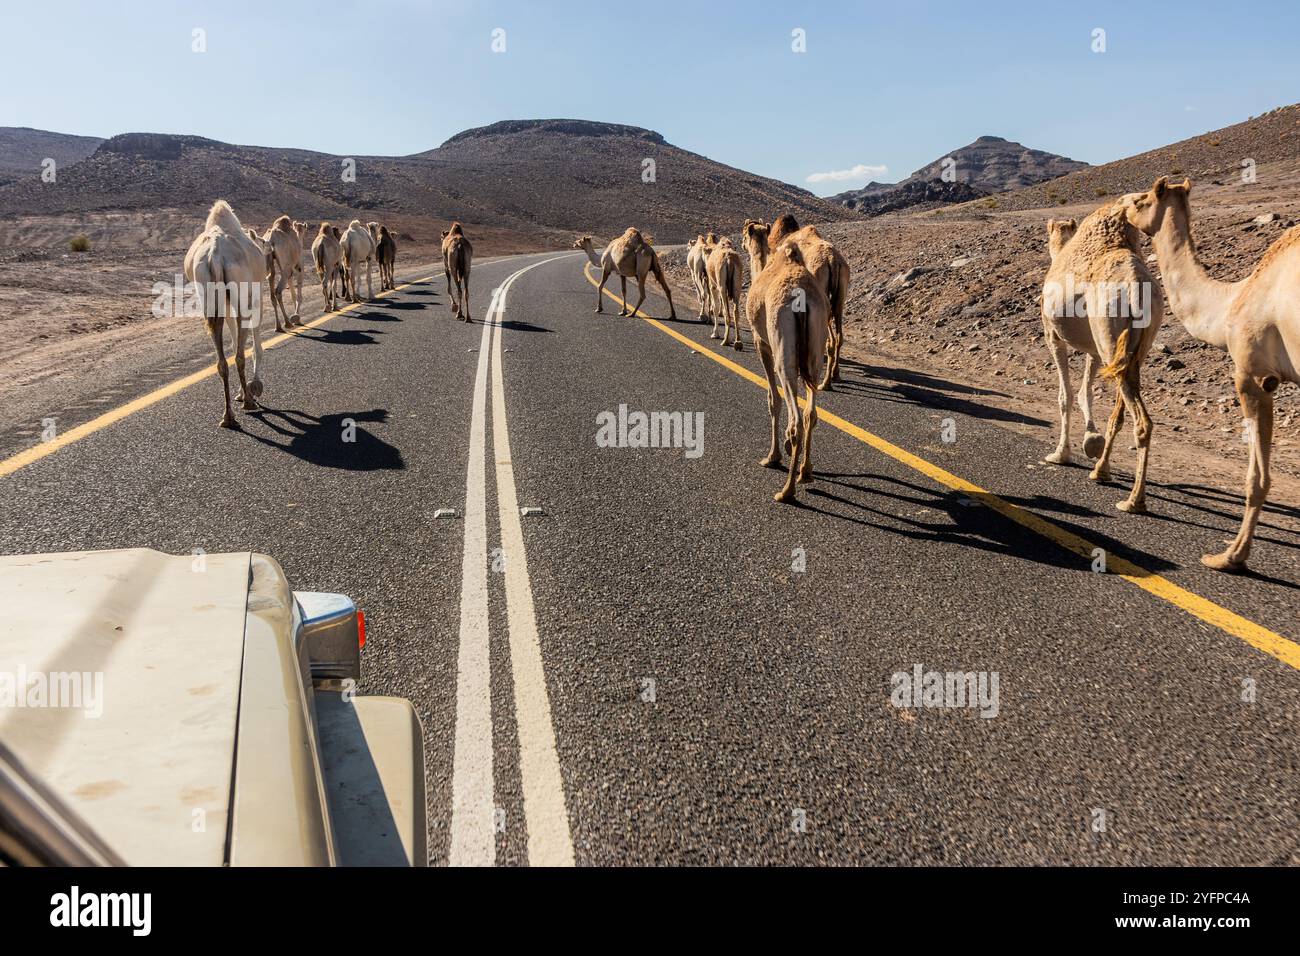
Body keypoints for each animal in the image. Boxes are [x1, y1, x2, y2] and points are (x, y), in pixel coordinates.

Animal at [183, 199, 266, 428]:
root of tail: (215, 255)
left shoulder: (226, 303)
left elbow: (235, 340)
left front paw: (244, 390)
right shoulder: (256, 296)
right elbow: (255, 344)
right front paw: (255, 386)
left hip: (208, 295)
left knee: (222, 358)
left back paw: (228, 416)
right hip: (241, 293)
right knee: (240, 353)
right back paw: (248, 402)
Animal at [741, 215, 849, 389]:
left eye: (744, 233)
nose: (742, 244)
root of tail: (832, 261)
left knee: (830, 340)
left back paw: (825, 383)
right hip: (840, 299)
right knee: (839, 337)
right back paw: (835, 375)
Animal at [746, 242, 831, 503]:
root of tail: (802, 299)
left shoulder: (761, 342)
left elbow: (773, 399)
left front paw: (772, 456)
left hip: (784, 353)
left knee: (797, 420)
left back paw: (786, 491)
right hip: (815, 354)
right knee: (810, 413)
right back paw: (806, 472)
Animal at [1039, 198, 1164, 513]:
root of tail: (1135, 285)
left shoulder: (1053, 335)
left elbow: (1066, 396)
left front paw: (1060, 454)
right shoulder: (1094, 350)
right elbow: (1086, 392)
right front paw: (1091, 441)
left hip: (1108, 332)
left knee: (1141, 421)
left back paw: (1134, 500)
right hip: (1128, 348)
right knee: (1122, 409)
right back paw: (1102, 471)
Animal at [1122, 177, 1299, 571]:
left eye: (1141, 200)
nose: (1122, 204)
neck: (1232, 299)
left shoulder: (1252, 377)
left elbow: (1257, 478)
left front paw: (1230, 556)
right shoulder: (1271, 380)